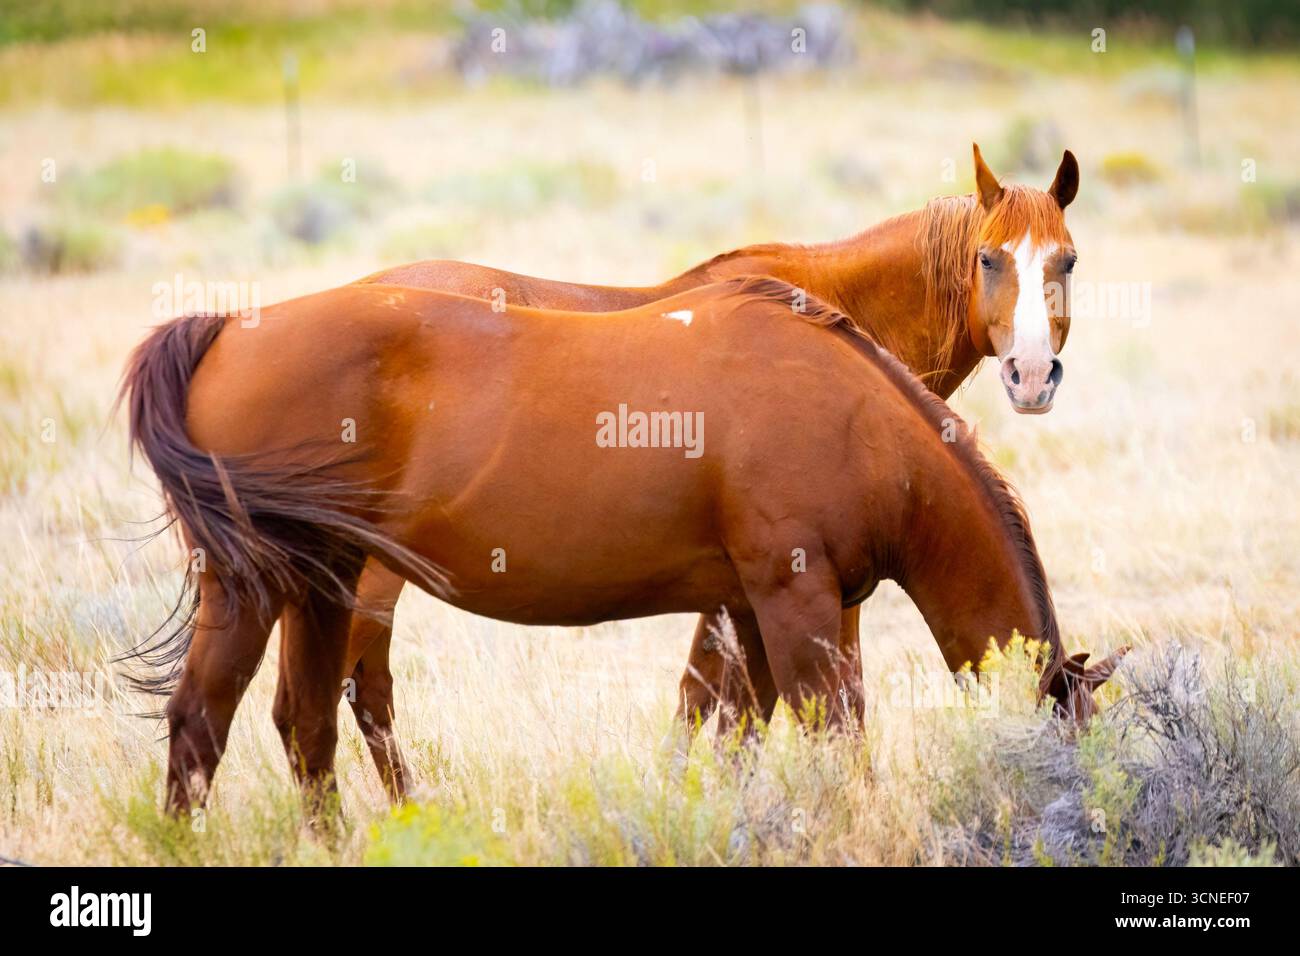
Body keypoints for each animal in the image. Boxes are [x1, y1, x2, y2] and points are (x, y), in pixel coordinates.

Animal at [119, 275, 1124, 815]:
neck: (855, 419)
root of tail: (225, 330)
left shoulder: (754, 611)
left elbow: (742, 734)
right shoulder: (793, 603)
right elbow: (834, 736)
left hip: (316, 588)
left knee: (295, 727)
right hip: (269, 587)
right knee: (217, 721)